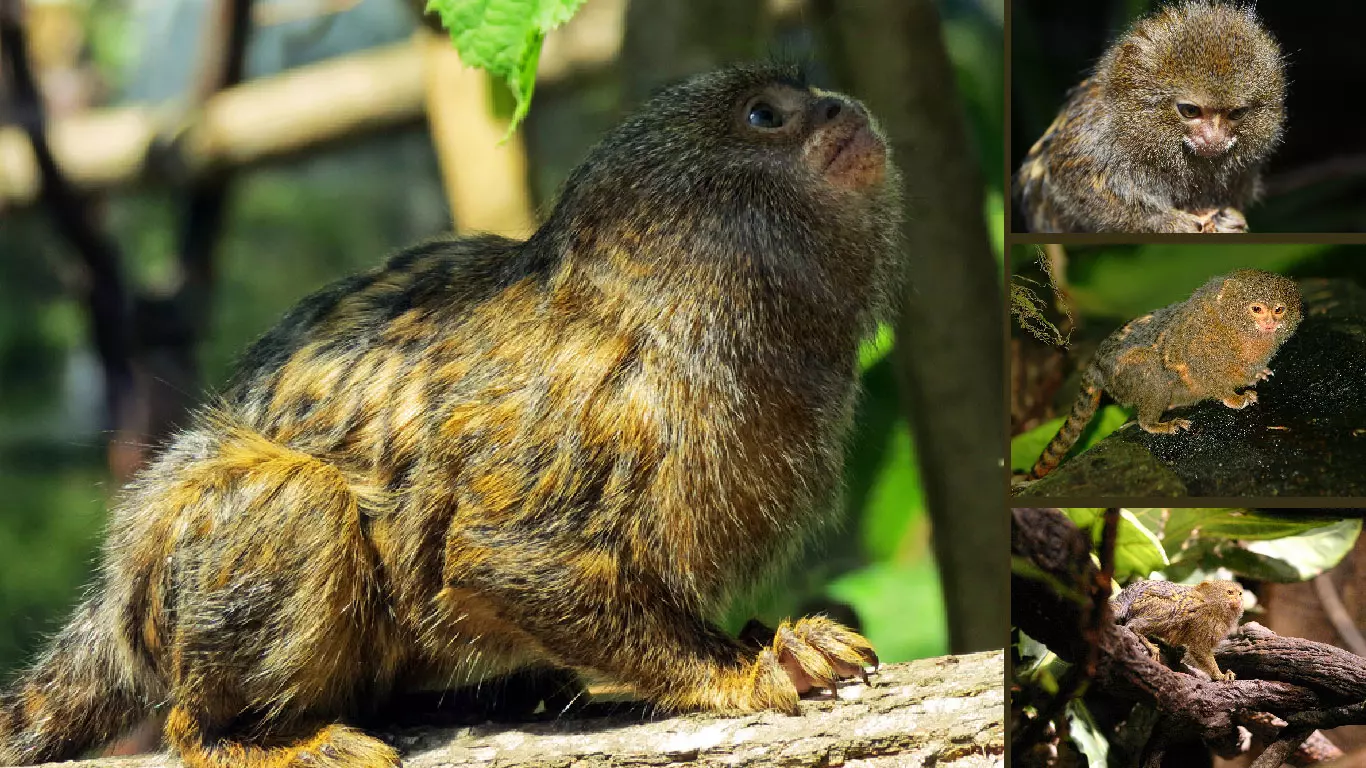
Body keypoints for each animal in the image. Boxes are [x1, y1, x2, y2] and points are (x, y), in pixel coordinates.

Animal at [0, 63, 902, 768]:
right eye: (766, 116)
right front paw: (741, 670)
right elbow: (510, 558)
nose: (839, 108)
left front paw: (769, 641)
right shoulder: (587, 410)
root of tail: (119, 592)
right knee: (293, 508)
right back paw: (247, 739)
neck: (681, 306)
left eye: (810, 96)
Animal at [1015, 1, 1286, 233]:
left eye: (1236, 113)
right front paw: (1164, 223)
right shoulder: (1095, 135)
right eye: (1190, 111)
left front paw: (1230, 220)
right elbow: (1074, 181)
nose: (1214, 138)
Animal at [1027, 269, 1300, 480]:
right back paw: (1155, 423)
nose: (1269, 322)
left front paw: (1254, 375)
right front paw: (1234, 398)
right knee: (1154, 376)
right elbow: (1202, 371)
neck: (1233, 327)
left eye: (1279, 309)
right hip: (1127, 376)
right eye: (1256, 309)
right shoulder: (1200, 343)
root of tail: (1097, 366)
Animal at [1111, 579, 1245, 680]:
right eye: (1229, 592)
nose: (1239, 599)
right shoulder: (1204, 622)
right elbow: (1199, 649)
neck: (1212, 605)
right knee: (1134, 624)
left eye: (1240, 594)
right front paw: (1220, 676)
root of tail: (1127, 594)